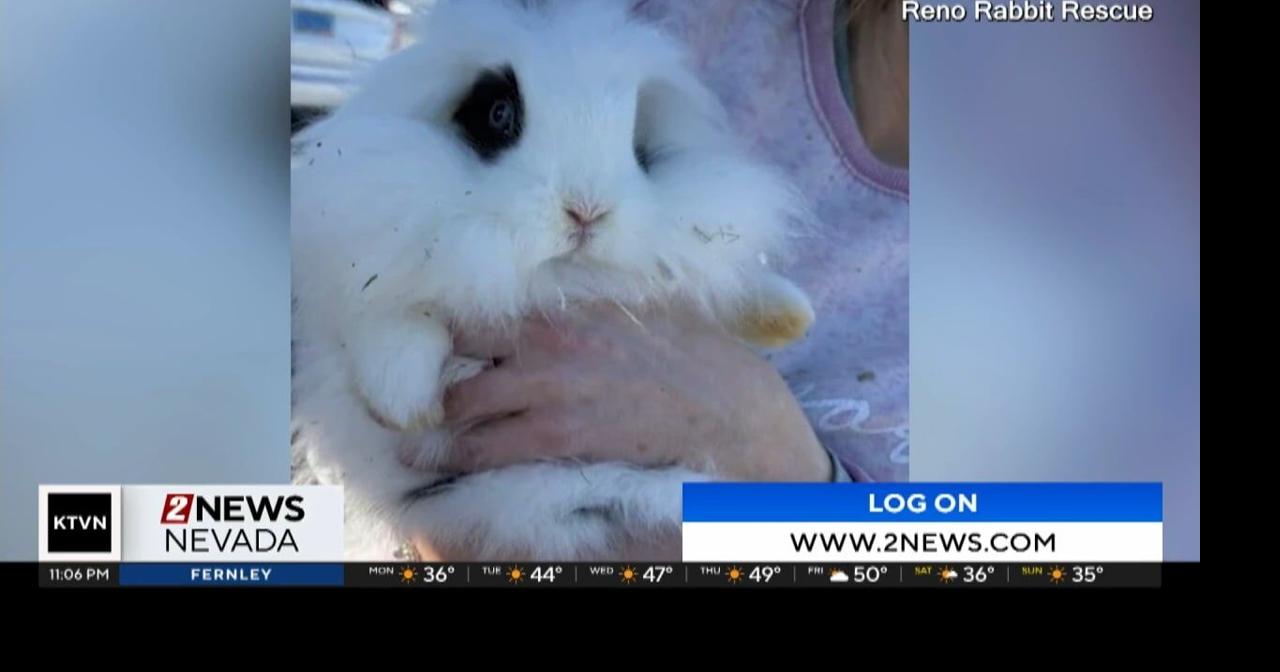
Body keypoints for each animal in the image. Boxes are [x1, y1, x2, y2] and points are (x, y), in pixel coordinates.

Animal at [290, 0, 816, 561]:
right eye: (499, 115)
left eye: (637, 141)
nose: (587, 211)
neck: (556, 282)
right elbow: (384, 314)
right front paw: (404, 403)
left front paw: (788, 317)